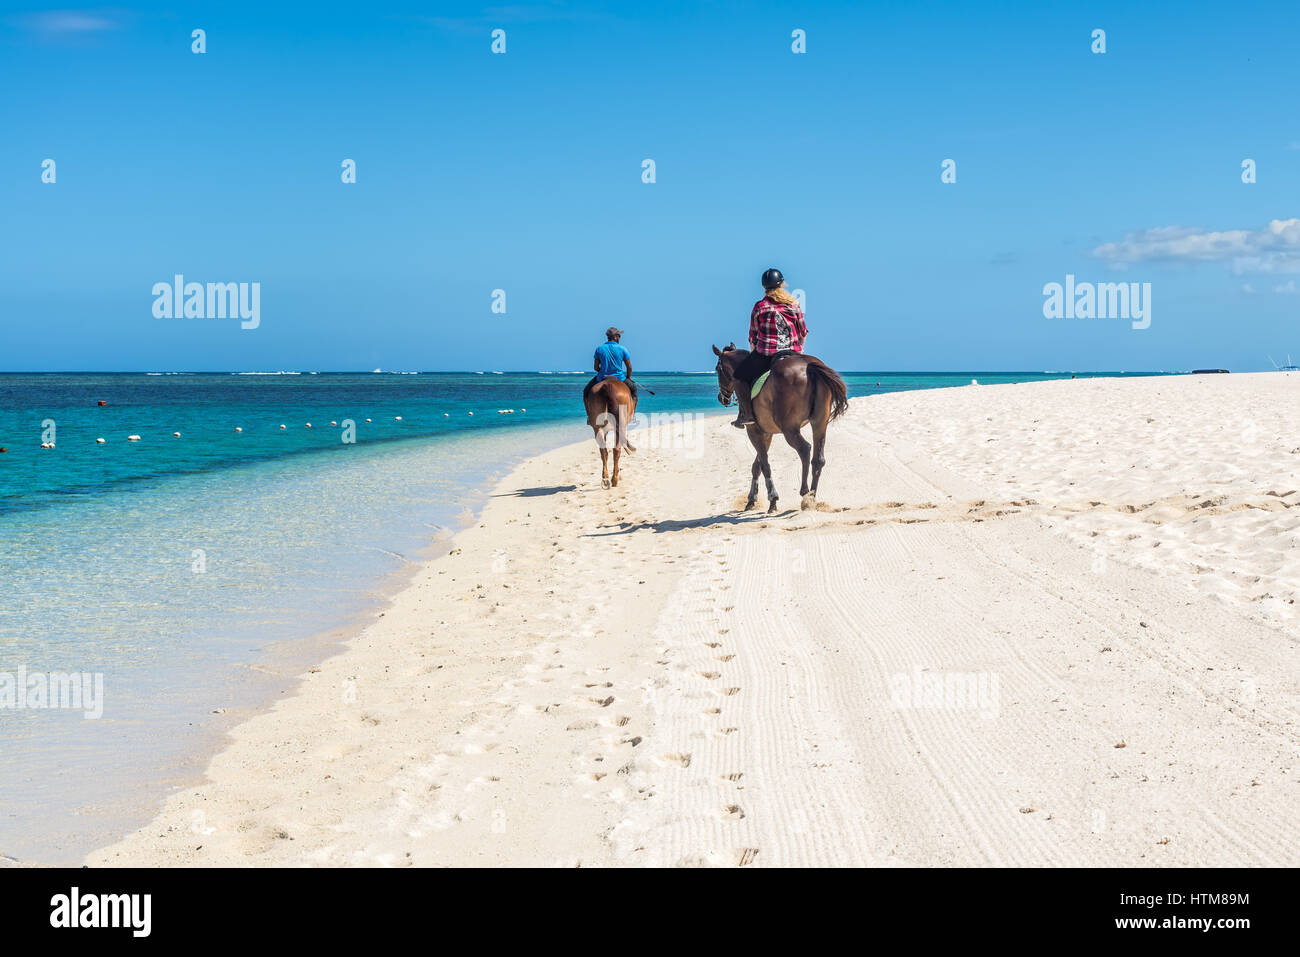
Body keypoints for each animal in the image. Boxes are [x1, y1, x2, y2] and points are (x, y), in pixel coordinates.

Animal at [712, 343, 849, 512]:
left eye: (718, 369)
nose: (722, 398)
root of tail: (809, 365)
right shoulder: (766, 434)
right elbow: (756, 465)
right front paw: (751, 500)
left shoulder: (754, 431)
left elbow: (764, 464)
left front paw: (773, 499)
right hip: (819, 423)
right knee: (818, 459)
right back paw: (812, 497)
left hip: (789, 429)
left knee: (804, 449)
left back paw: (804, 492)